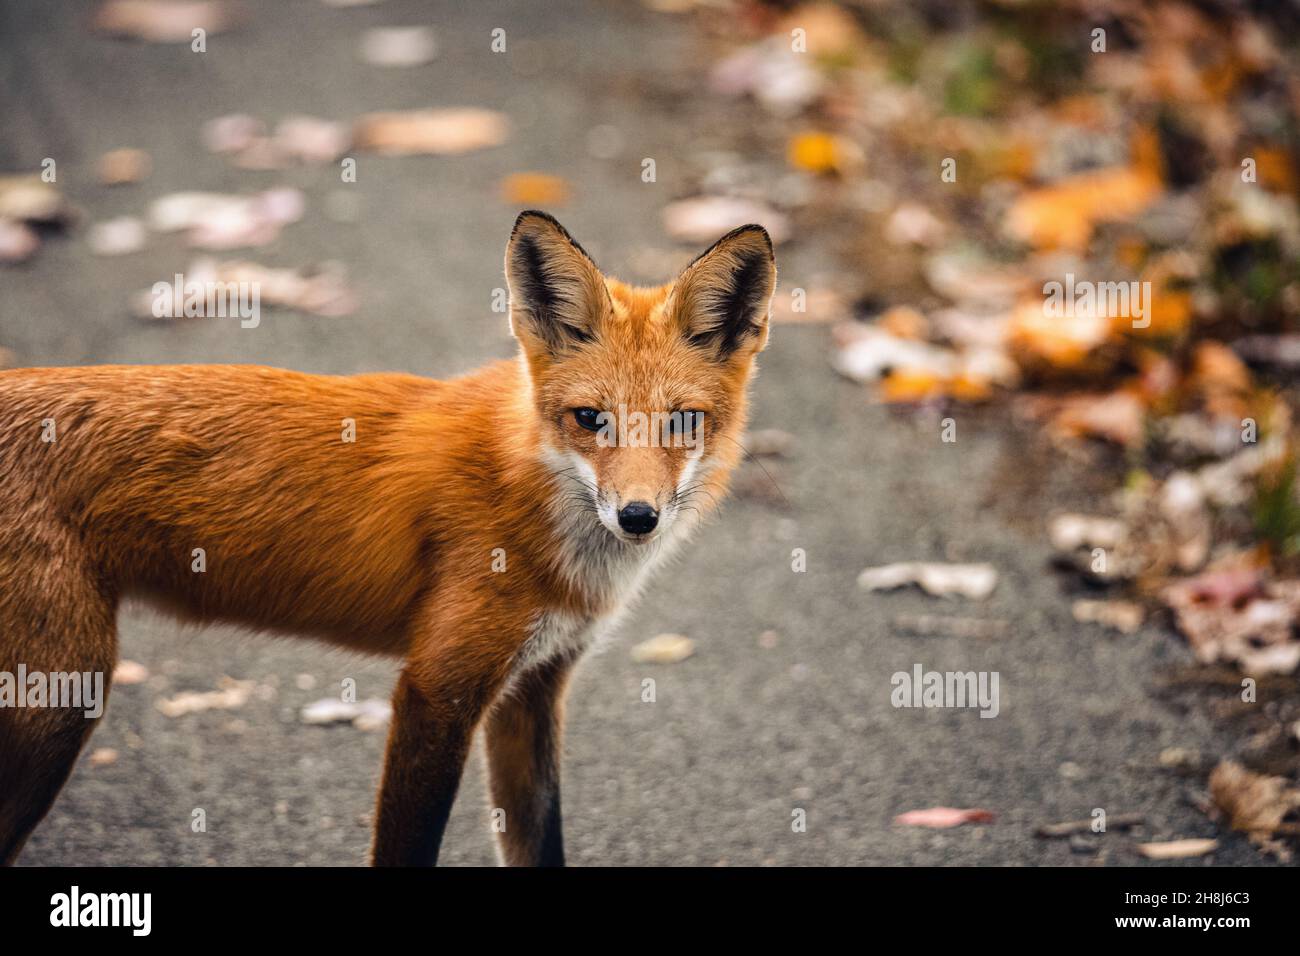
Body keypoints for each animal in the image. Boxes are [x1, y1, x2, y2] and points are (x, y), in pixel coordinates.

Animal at [0, 211, 777, 866]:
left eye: (682, 422)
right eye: (591, 419)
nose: (638, 517)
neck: (526, 487)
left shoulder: (532, 689)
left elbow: (540, 844)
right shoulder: (437, 688)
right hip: (58, 703)